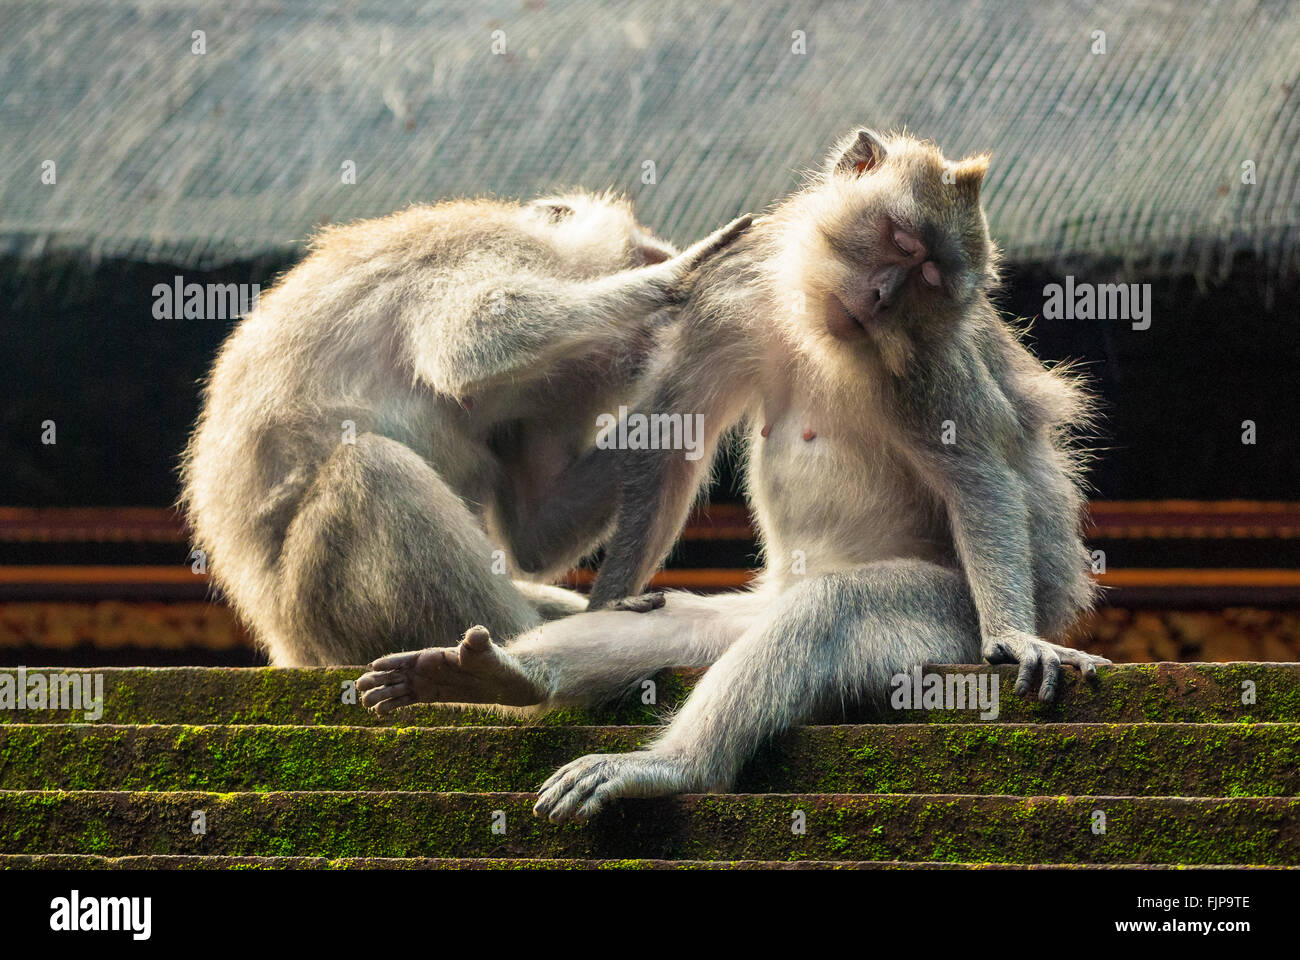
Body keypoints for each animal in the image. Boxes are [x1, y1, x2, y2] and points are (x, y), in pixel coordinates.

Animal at [180, 191, 752, 666]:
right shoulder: (487, 250)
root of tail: (284, 641)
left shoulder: (546, 402)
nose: (663, 329)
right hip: (324, 613)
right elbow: (470, 339)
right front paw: (682, 272)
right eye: (647, 256)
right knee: (376, 468)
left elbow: (534, 534)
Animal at [356, 128, 1111, 824]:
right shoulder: (735, 293)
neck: (826, 330)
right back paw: (501, 677)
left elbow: (977, 474)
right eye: (897, 241)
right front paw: (611, 589)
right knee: (670, 627)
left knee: (828, 612)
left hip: (939, 623)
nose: (880, 295)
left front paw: (1014, 637)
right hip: (746, 609)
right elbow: (671, 444)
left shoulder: (932, 358)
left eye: (927, 278)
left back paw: (672, 767)